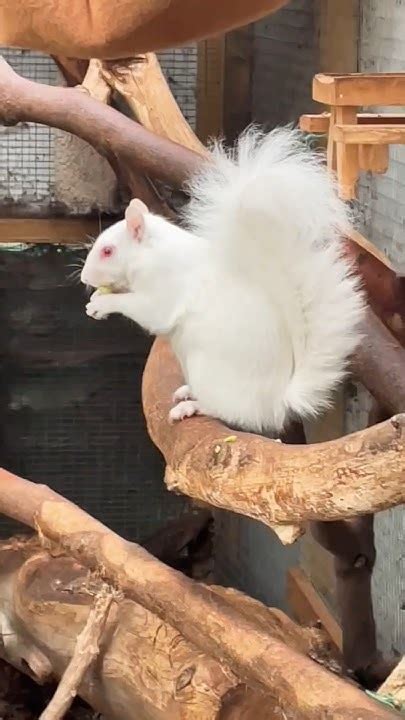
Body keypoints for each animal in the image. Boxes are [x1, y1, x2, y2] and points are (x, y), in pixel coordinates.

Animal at [81, 126, 365, 434]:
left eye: (108, 251)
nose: (85, 277)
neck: (151, 253)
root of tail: (276, 405)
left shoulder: (165, 287)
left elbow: (149, 311)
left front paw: (103, 304)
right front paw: (96, 299)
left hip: (209, 372)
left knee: (232, 414)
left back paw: (192, 407)